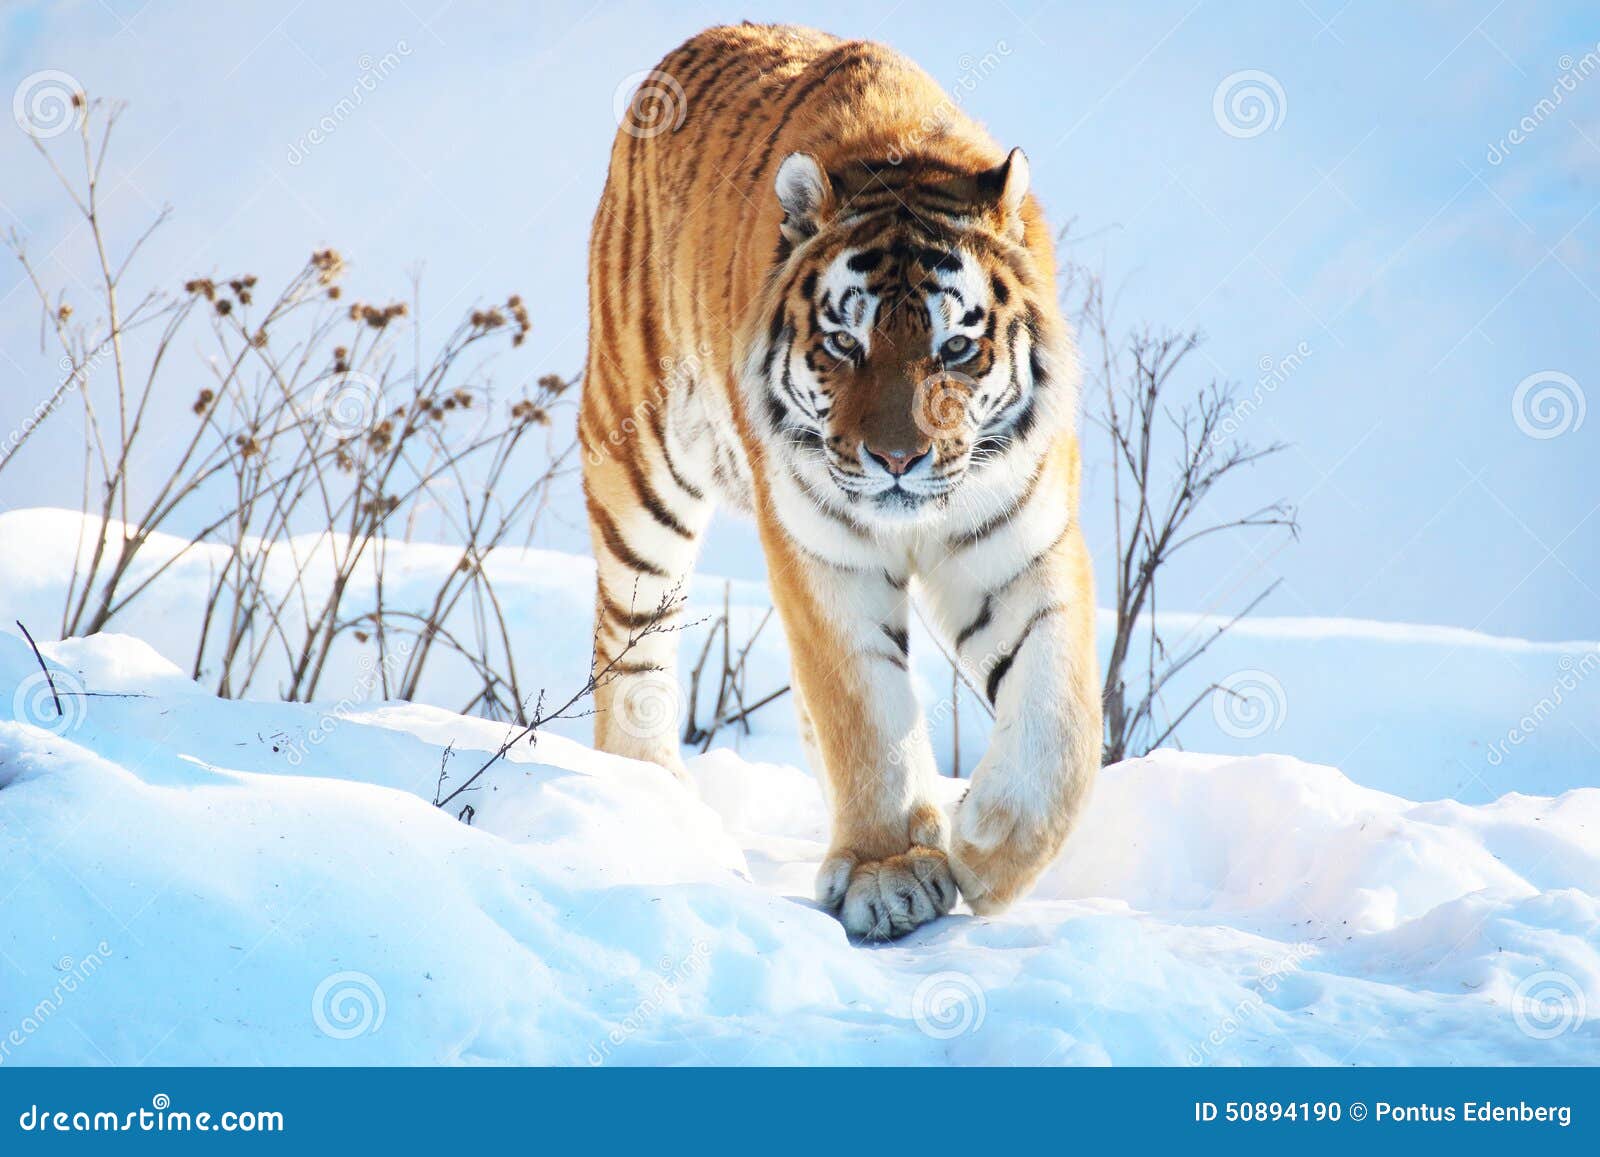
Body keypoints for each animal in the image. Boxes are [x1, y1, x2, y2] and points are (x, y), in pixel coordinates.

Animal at [580, 23, 1100, 940]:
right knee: (633, 635)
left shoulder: (1020, 543)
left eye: (955, 348)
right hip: (639, 461)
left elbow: (1061, 715)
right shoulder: (824, 553)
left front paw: (989, 846)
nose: (896, 459)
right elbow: (865, 709)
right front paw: (890, 873)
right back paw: (650, 795)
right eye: (843, 344)